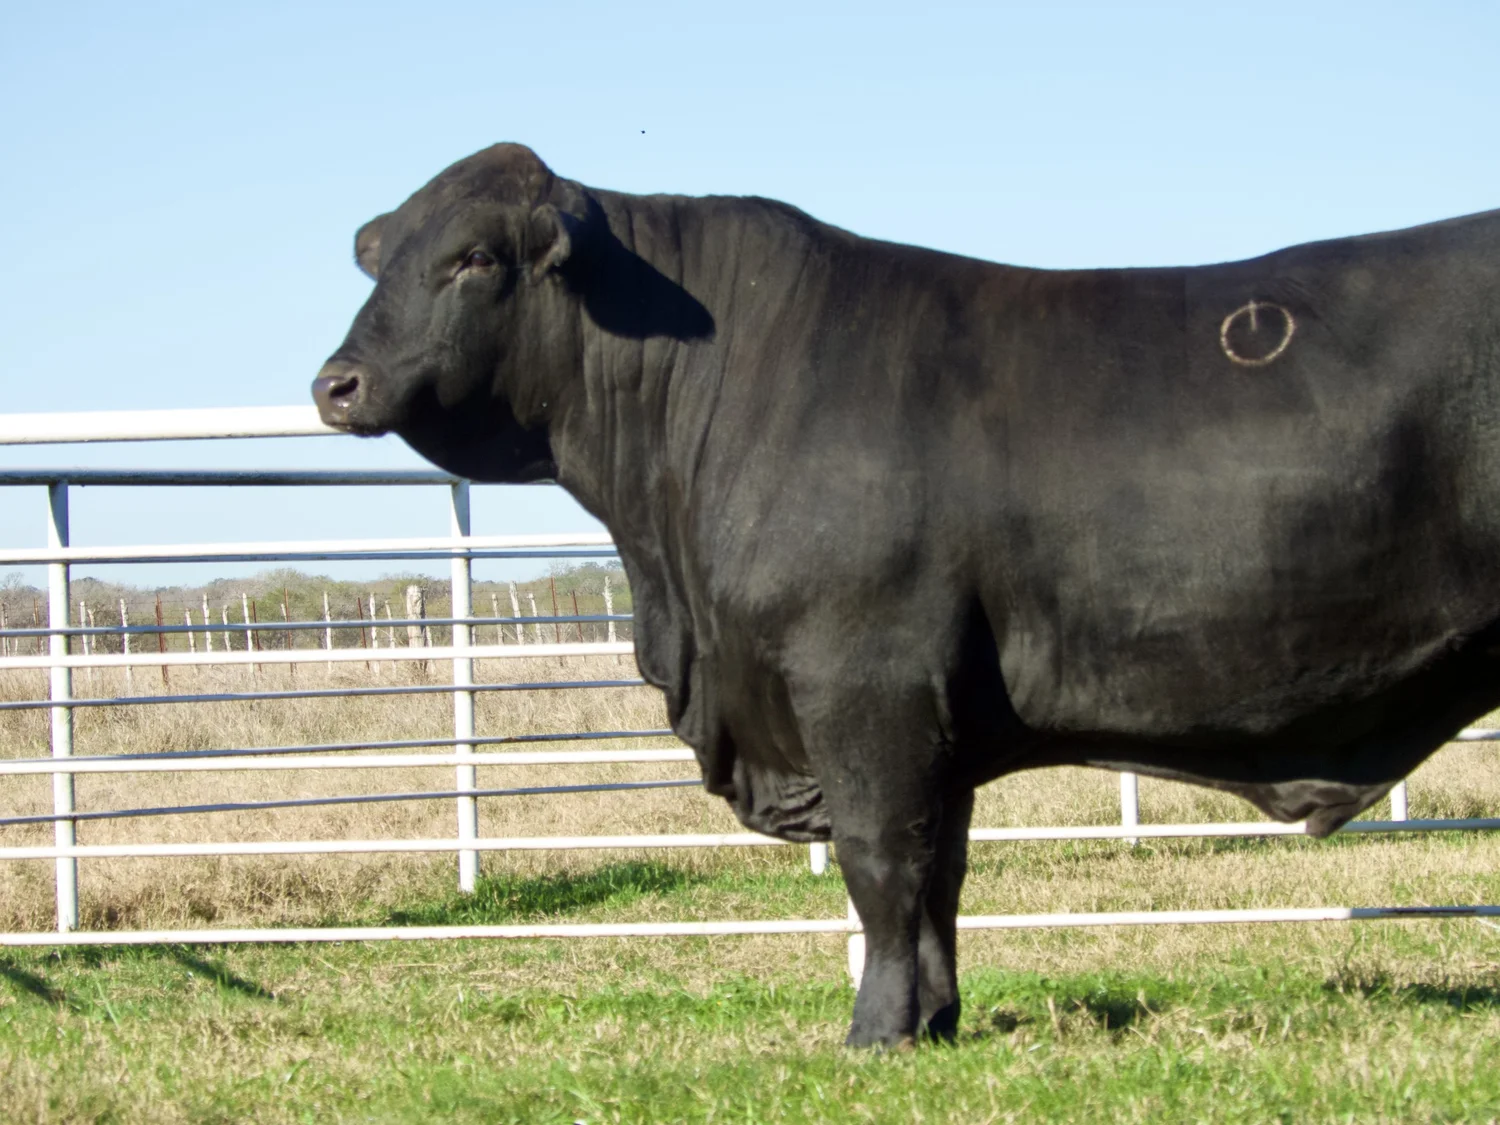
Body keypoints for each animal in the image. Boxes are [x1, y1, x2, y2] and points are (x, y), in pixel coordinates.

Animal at [313, 143, 1500, 1048]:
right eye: (380, 253)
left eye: (472, 257)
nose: (336, 384)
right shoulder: (934, 708)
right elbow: (939, 874)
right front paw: (935, 1021)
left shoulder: (862, 680)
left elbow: (881, 860)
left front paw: (875, 1033)